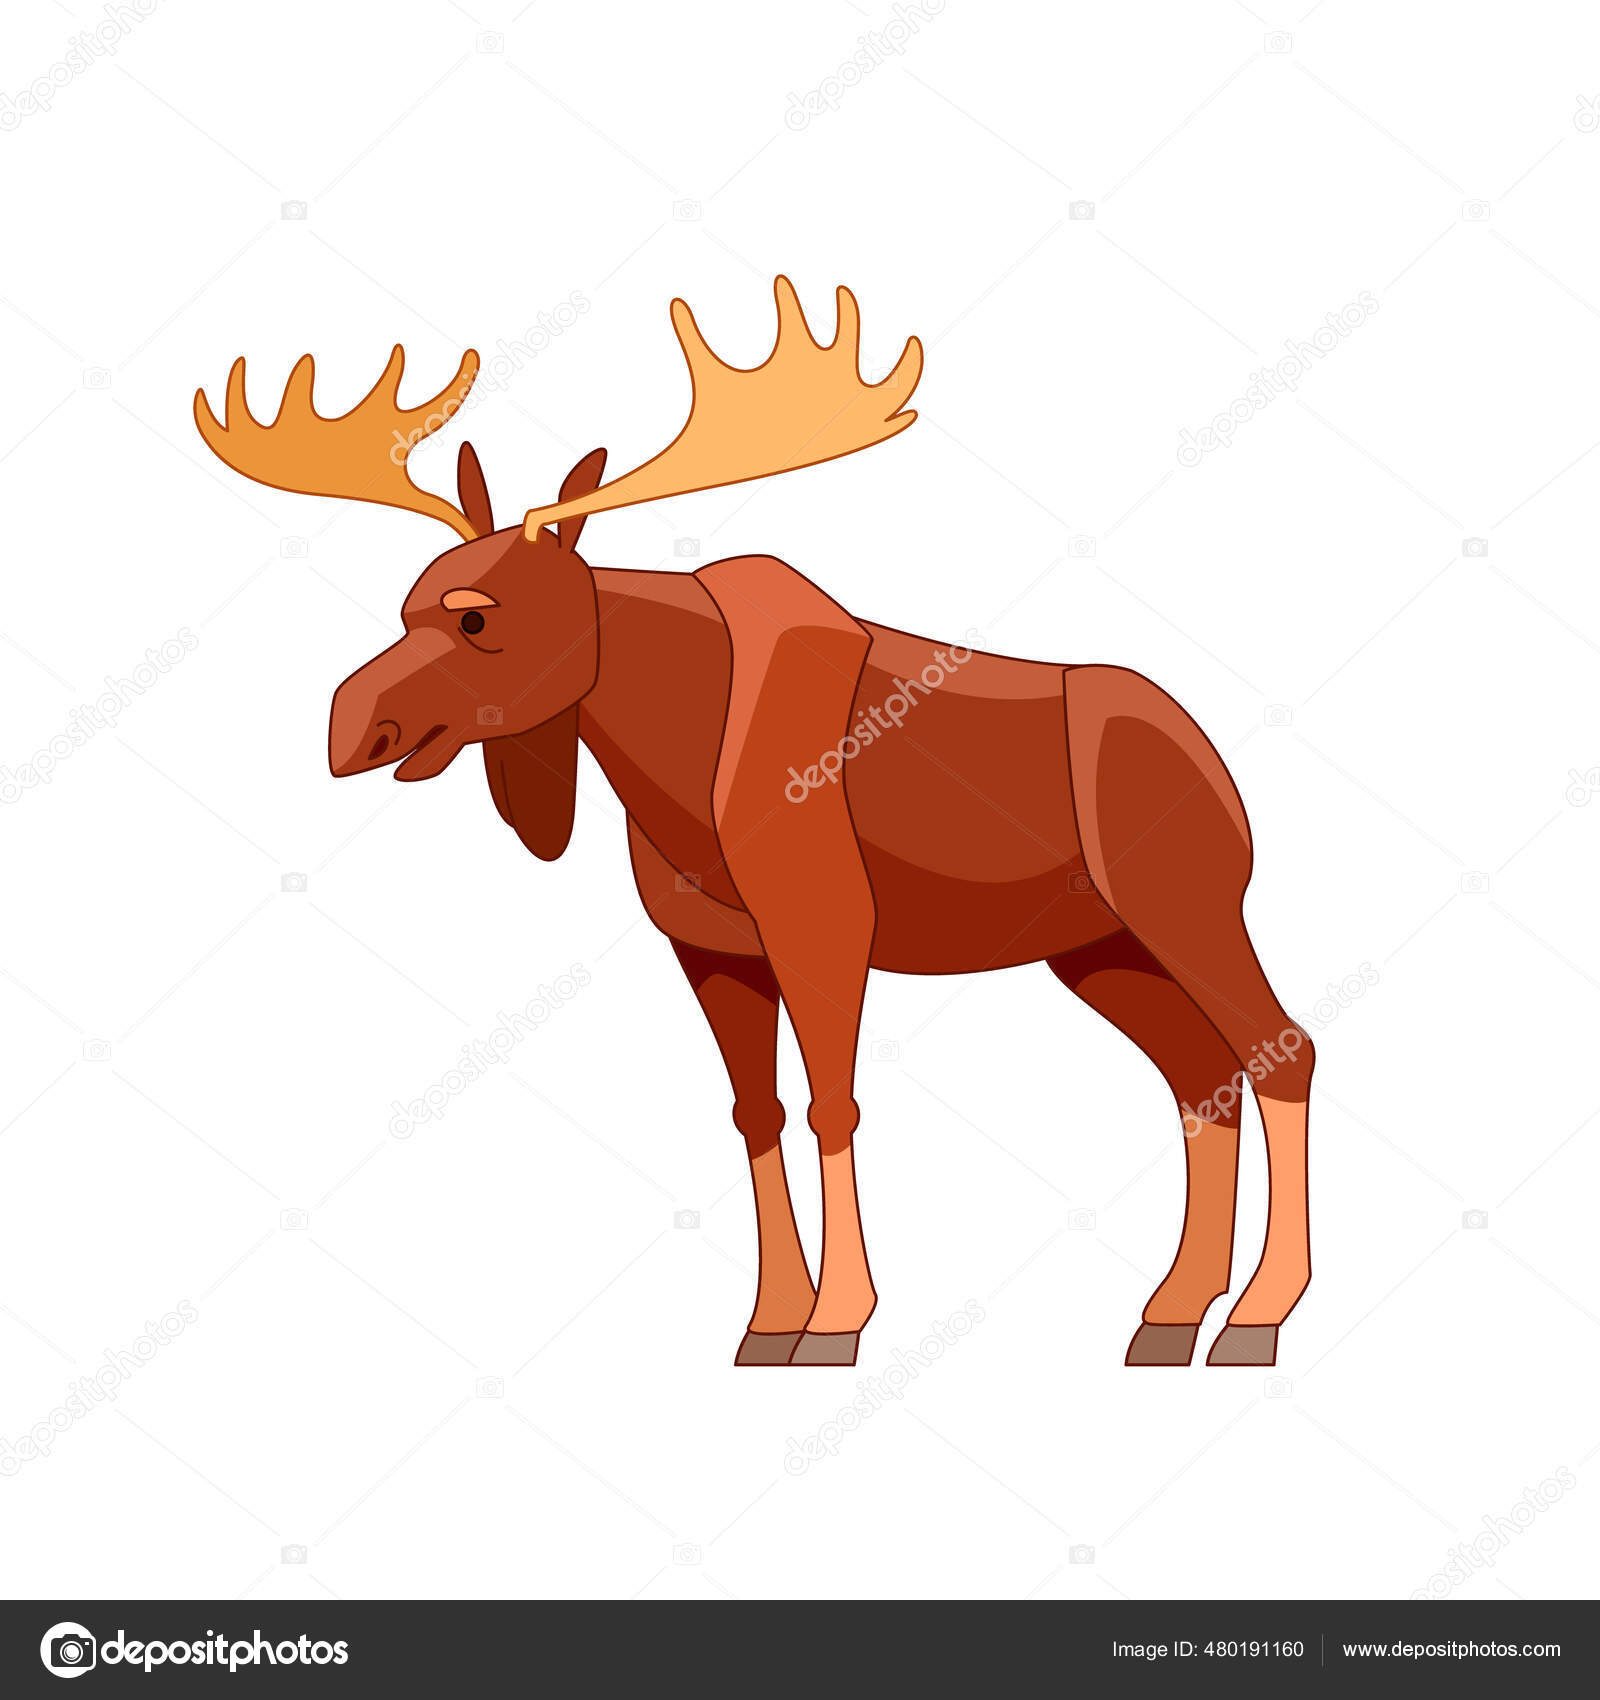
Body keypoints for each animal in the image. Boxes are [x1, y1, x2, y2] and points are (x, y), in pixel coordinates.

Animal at [195, 277, 1313, 1370]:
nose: (347, 726)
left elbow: (832, 1102)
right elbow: (754, 1113)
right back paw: (1172, 1312)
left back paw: (1257, 1313)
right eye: (404, 606)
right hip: (1093, 948)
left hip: (1184, 903)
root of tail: (1217, 767)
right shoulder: (710, 947)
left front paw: (840, 1319)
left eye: (477, 617)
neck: (667, 771)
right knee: (1201, 1077)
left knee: (1278, 1048)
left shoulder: (825, 926)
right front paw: (771, 1318)